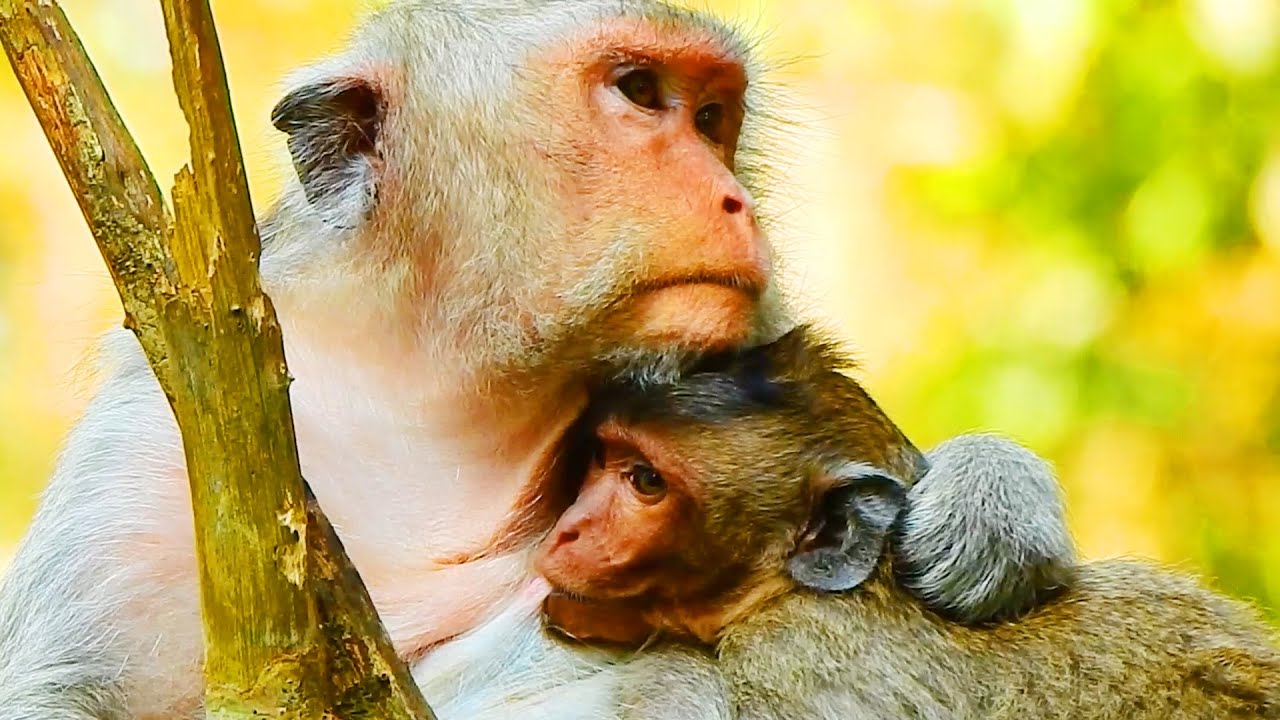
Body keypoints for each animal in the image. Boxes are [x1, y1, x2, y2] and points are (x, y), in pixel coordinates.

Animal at [0, 1, 1077, 717]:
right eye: (639, 92)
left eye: (712, 118)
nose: (731, 196)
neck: (446, 387)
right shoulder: (166, 442)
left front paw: (991, 501)